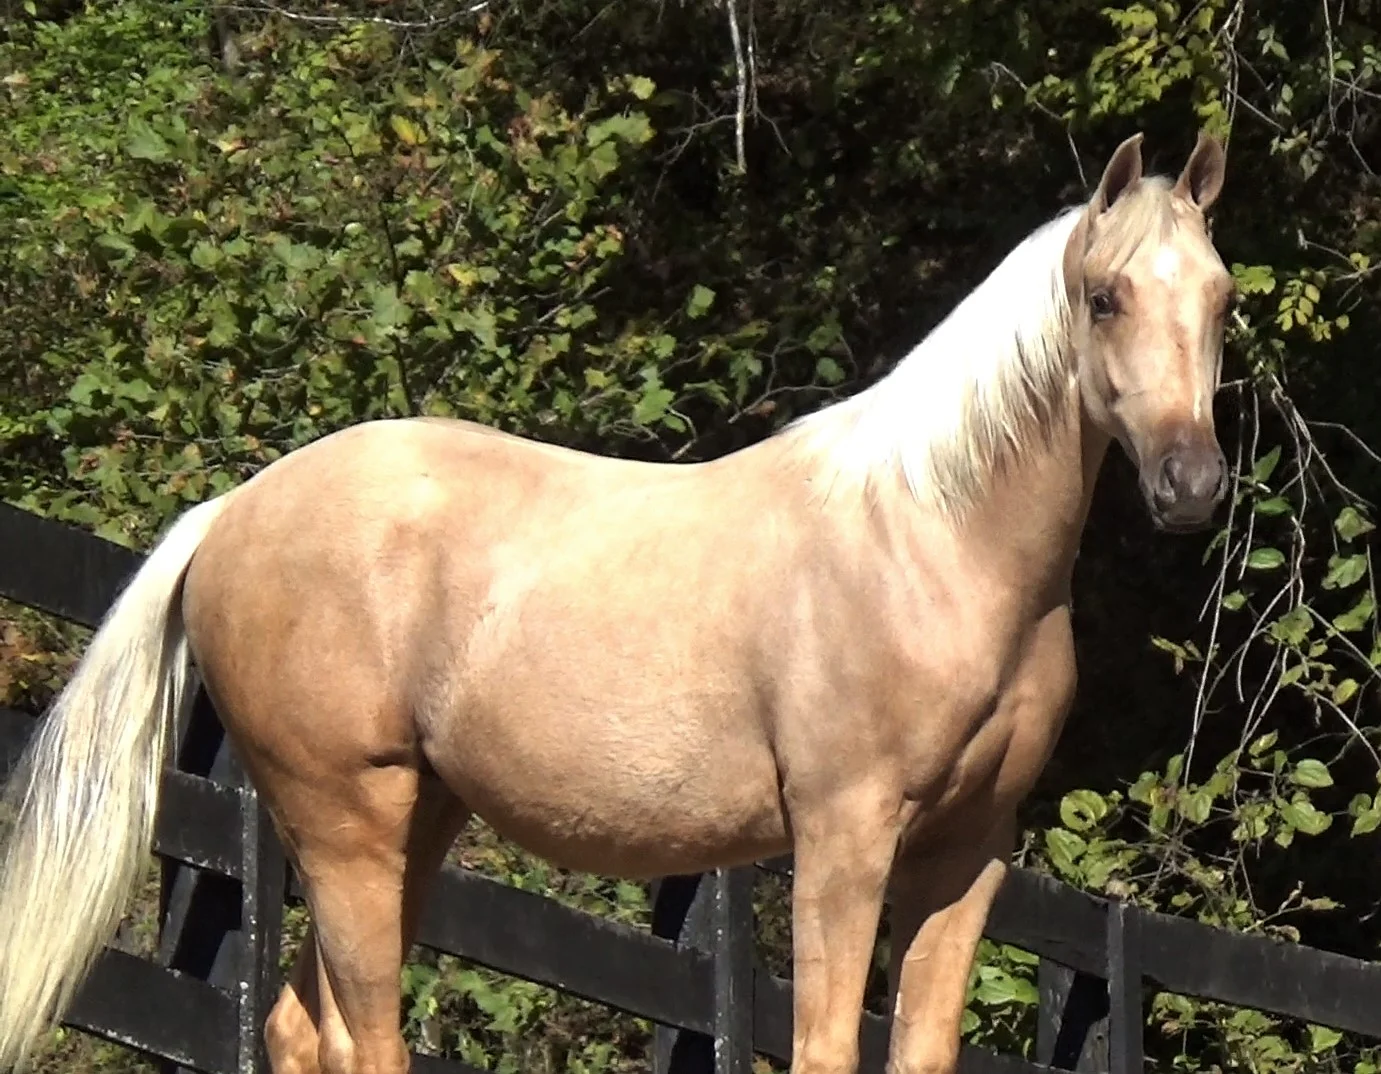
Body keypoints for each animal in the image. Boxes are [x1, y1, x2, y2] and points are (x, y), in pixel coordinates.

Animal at [0, 129, 1234, 1074]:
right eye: (1103, 297)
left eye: (1219, 300)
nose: (1190, 486)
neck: (926, 541)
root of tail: (233, 511)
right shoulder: (843, 834)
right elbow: (826, 1047)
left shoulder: (964, 853)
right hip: (343, 821)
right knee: (361, 1036)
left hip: (414, 821)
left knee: (304, 1030)